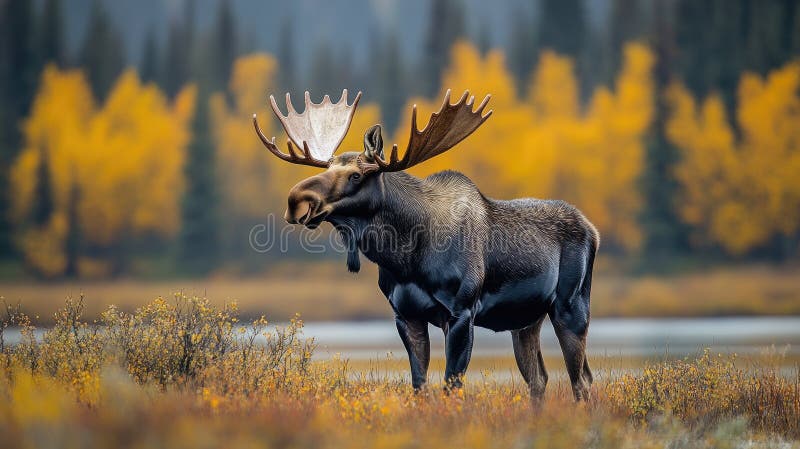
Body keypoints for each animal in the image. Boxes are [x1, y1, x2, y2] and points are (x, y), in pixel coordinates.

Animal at [253, 89, 599, 402]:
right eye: (326, 169)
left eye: (356, 175)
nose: (296, 200)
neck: (406, 258)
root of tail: (593, 229)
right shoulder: (406, 314)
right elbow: (419, 384)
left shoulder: (461, 311)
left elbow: (451, 385)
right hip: (526, 319)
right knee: (539, 379)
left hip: (571, 305)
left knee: (581, 380)